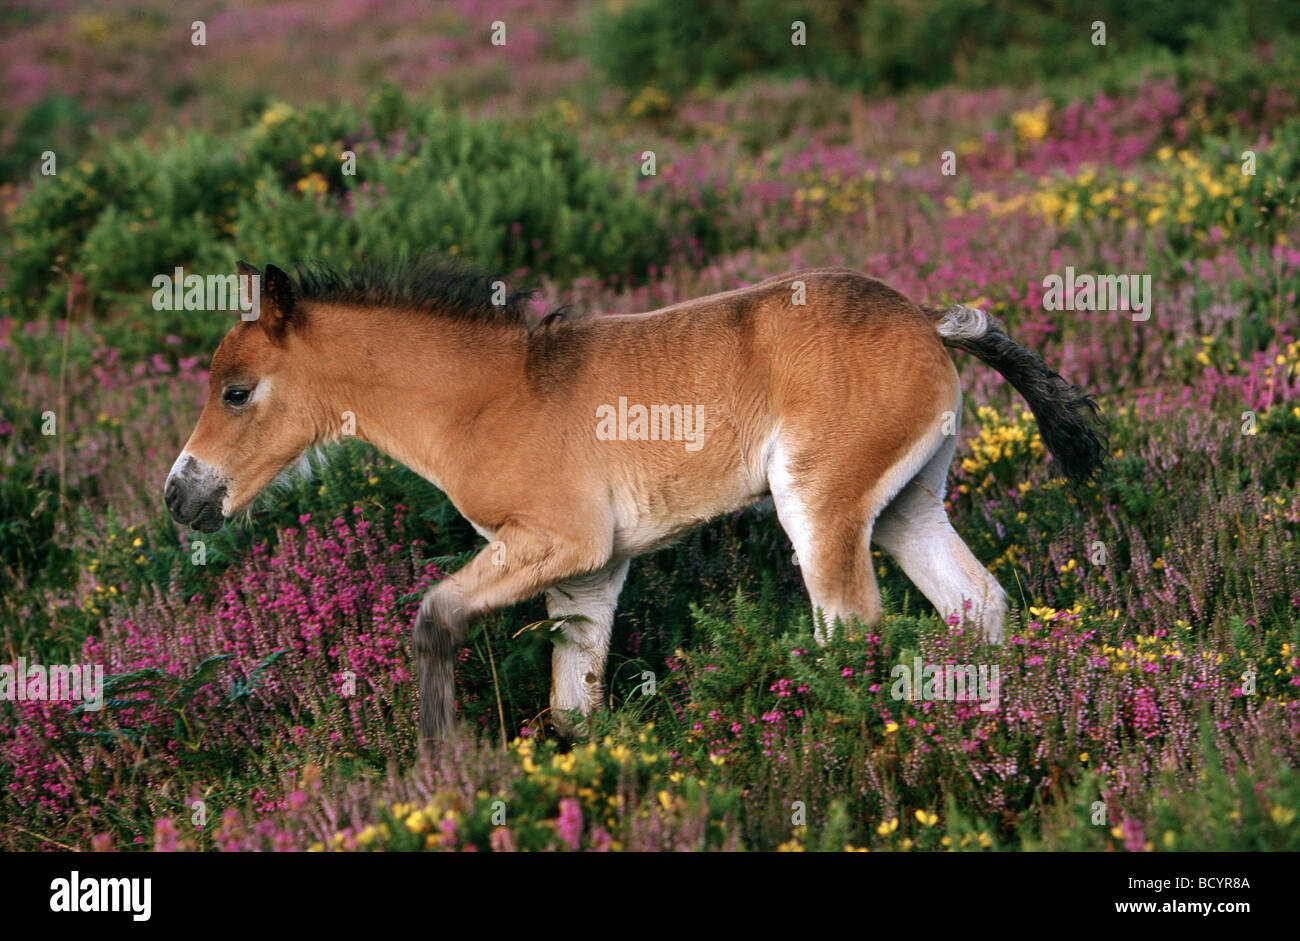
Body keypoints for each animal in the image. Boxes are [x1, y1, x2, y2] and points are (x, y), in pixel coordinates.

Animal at [165, 258, 1105, 747]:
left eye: (237, 391)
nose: (181, 495)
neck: (487, 396)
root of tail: (928, 322)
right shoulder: (589, 573)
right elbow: (573, 706)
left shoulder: (561, 539)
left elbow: (434, 616)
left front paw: (444, 766)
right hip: (908, 505)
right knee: (978, 604)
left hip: (820, 505)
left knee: (855, 633)